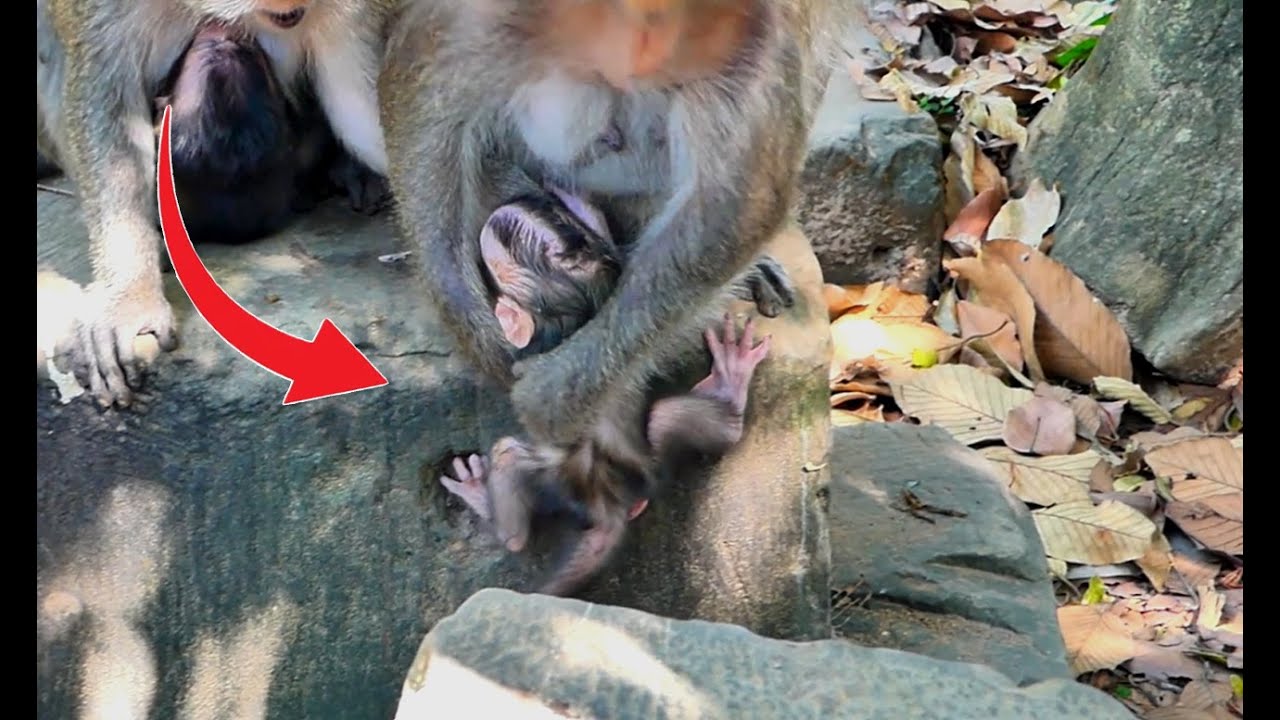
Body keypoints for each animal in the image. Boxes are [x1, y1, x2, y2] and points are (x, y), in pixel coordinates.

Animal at [438, 185, 781, 596]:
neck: (574, 321)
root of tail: (615, 507)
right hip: (650, 450)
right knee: (674, 419)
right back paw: (730, 389)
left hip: (561, 487)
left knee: (513, 502)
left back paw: (483, 498)